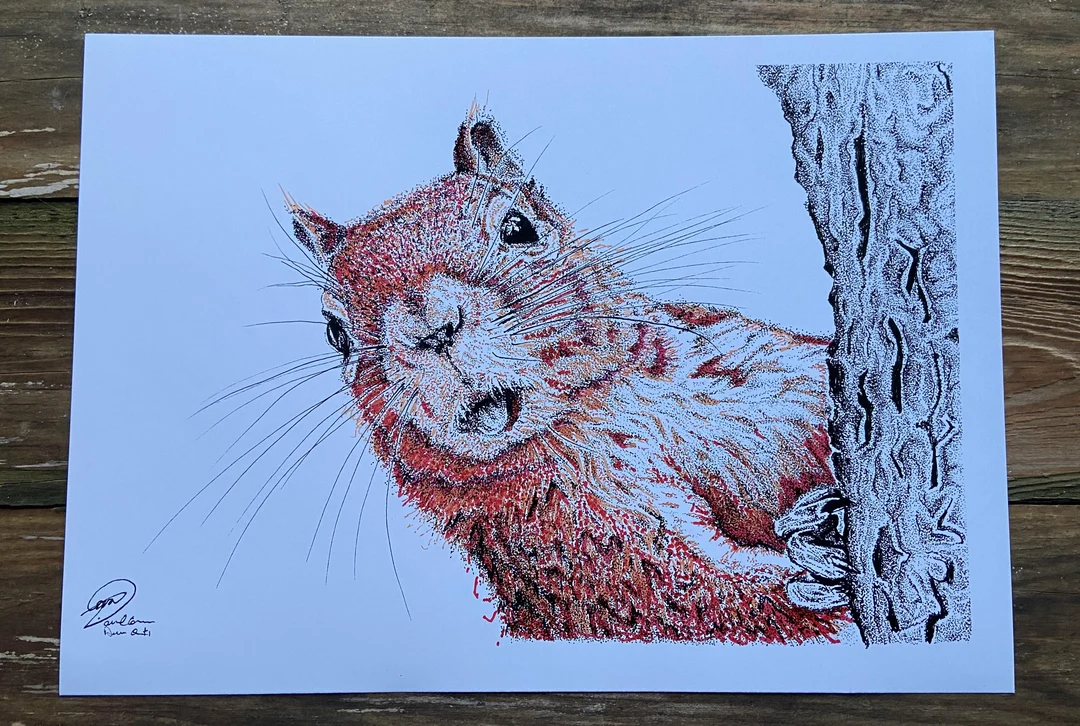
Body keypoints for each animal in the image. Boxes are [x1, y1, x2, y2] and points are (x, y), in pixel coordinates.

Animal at [287, 105, 851, 644]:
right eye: (335, 333)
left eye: (518, 227)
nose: (431, 331)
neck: (610, 399)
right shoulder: (590, 542)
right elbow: (713, 600)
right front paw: (821, 562)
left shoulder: (757, 367)